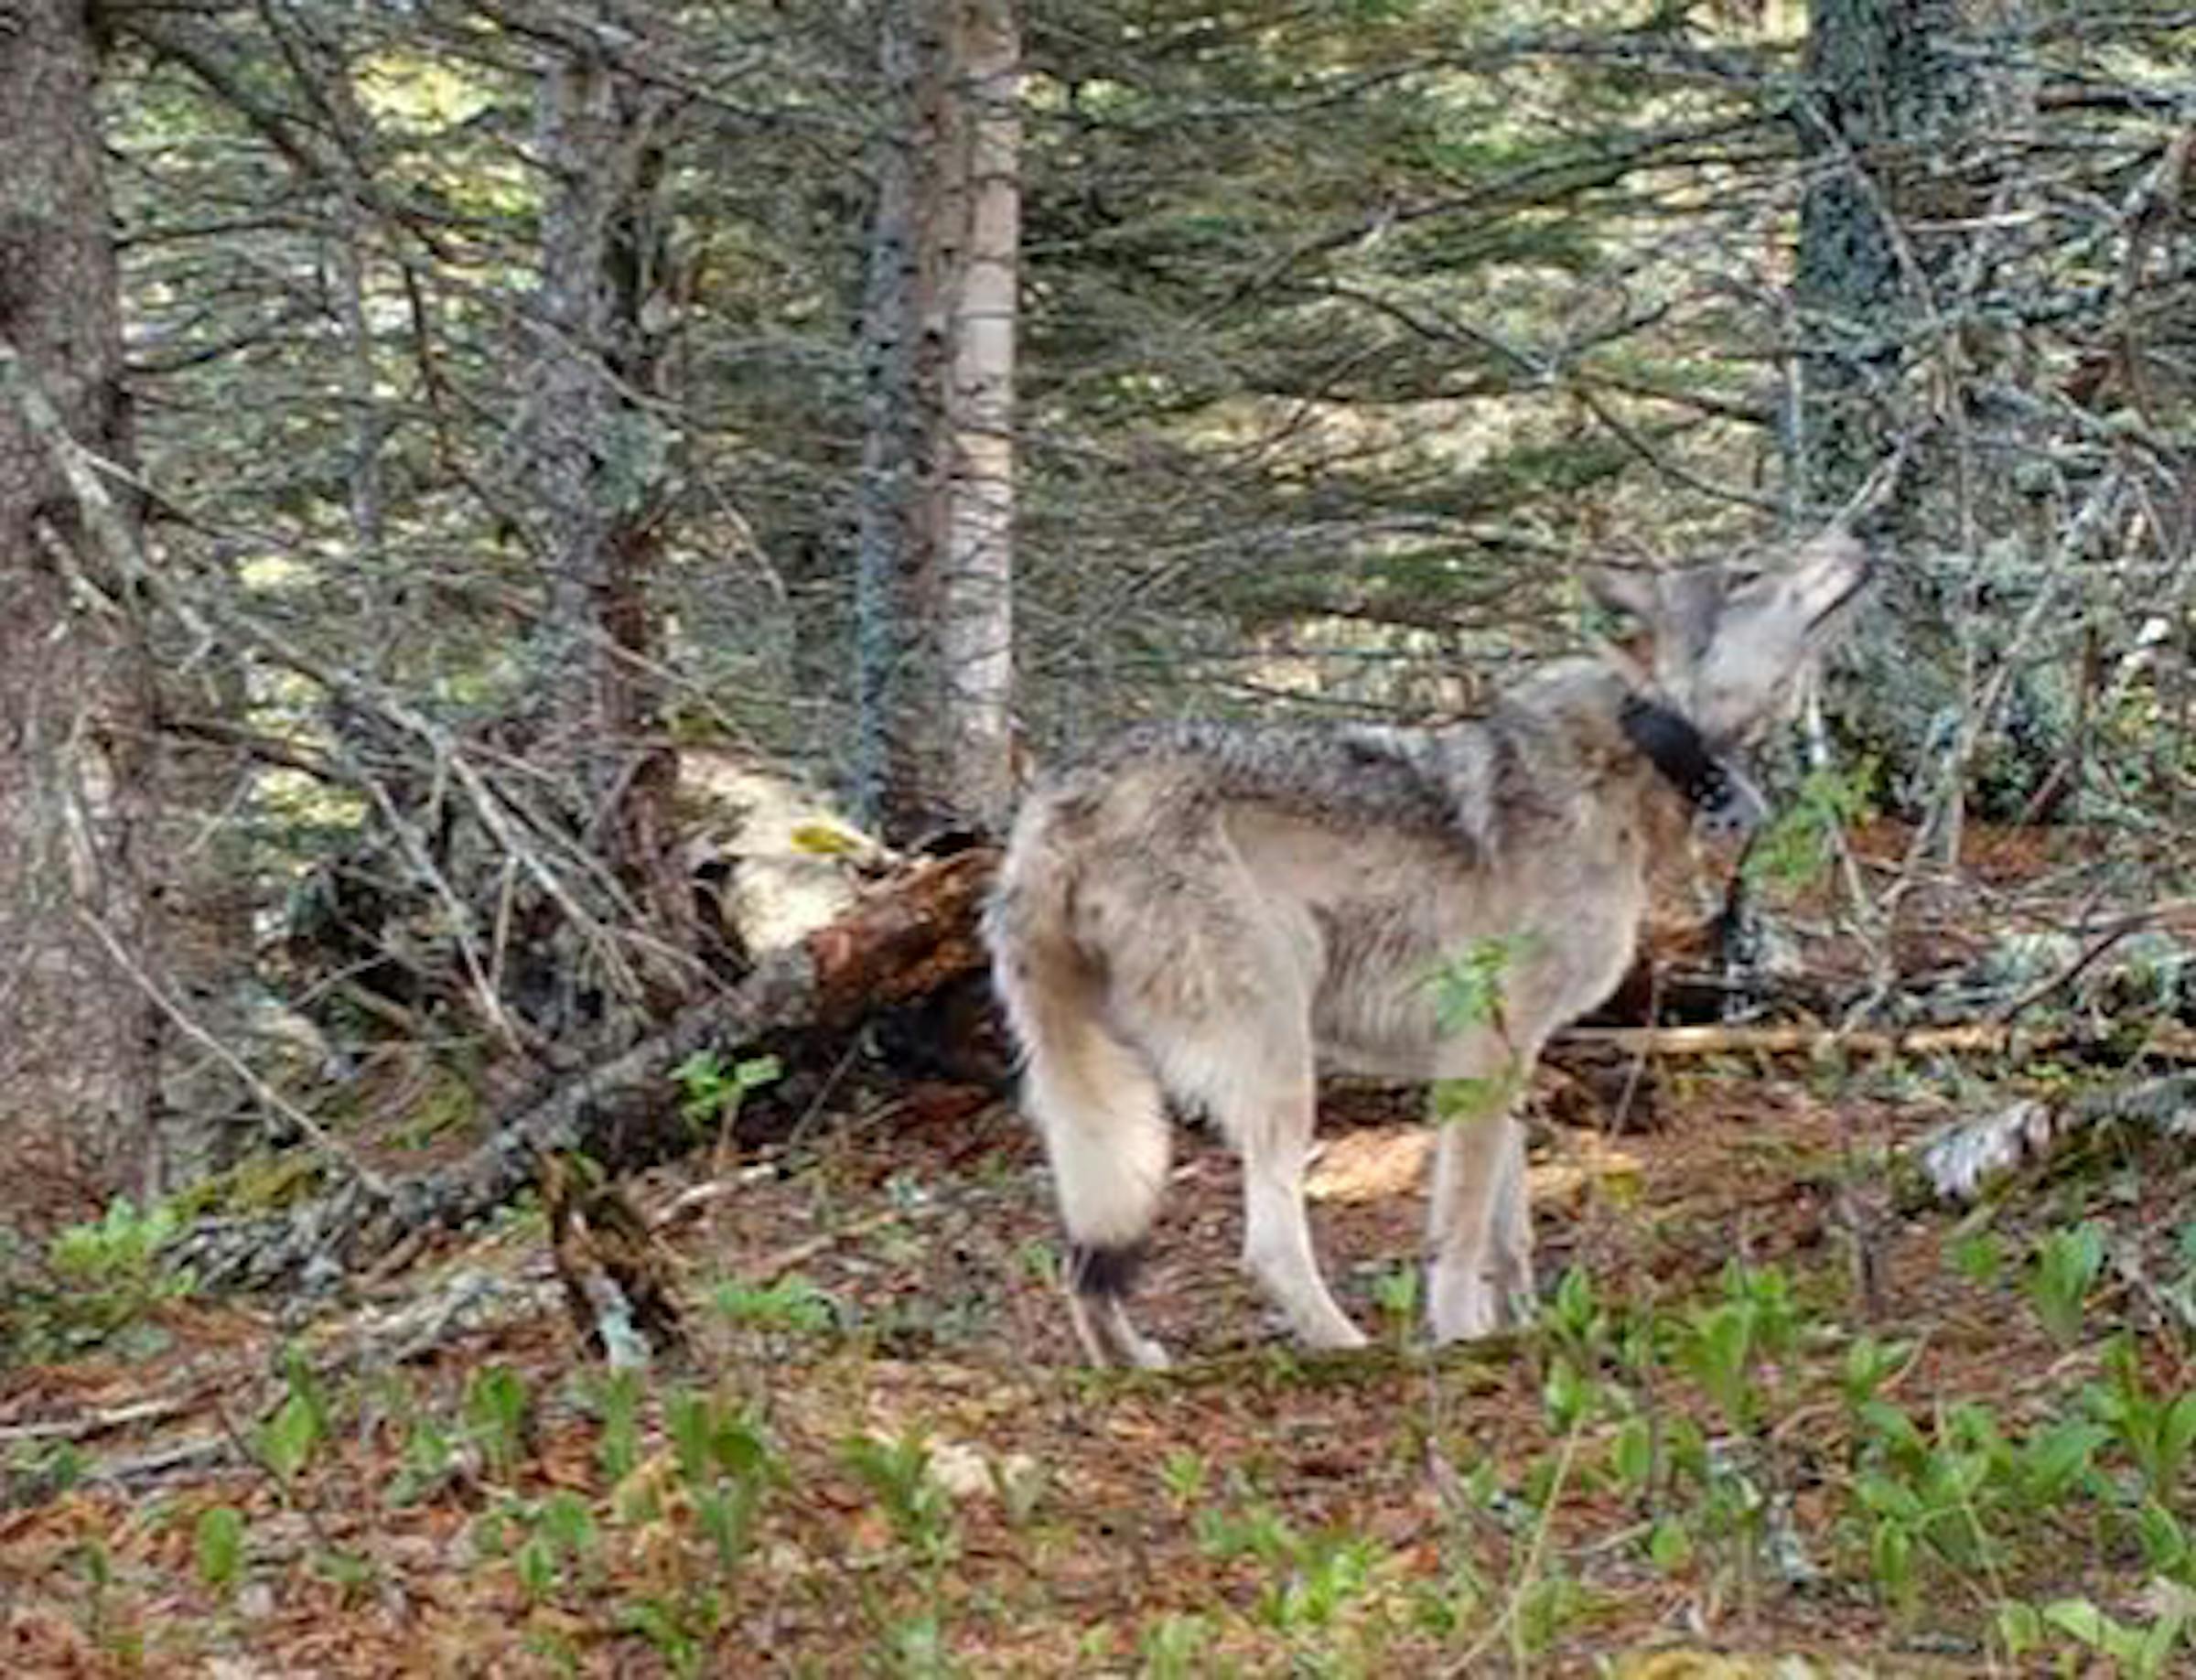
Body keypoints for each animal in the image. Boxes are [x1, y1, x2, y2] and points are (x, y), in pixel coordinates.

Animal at [985, 529, 1871, 1366]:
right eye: (1748, 571)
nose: (1858, 540)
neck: (1635, 748)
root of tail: (1060, 801)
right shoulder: (1479, 1050)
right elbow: (1463, 1233)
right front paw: (1461, 1340)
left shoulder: (1516, 1055)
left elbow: (1512, 1232)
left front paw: (1526, 1330)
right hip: (1279, 1066)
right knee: (1267, 1247)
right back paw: (1354, 1353)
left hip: (1099, 1093)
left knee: (1083, 1261)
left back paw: (1130, 1362)